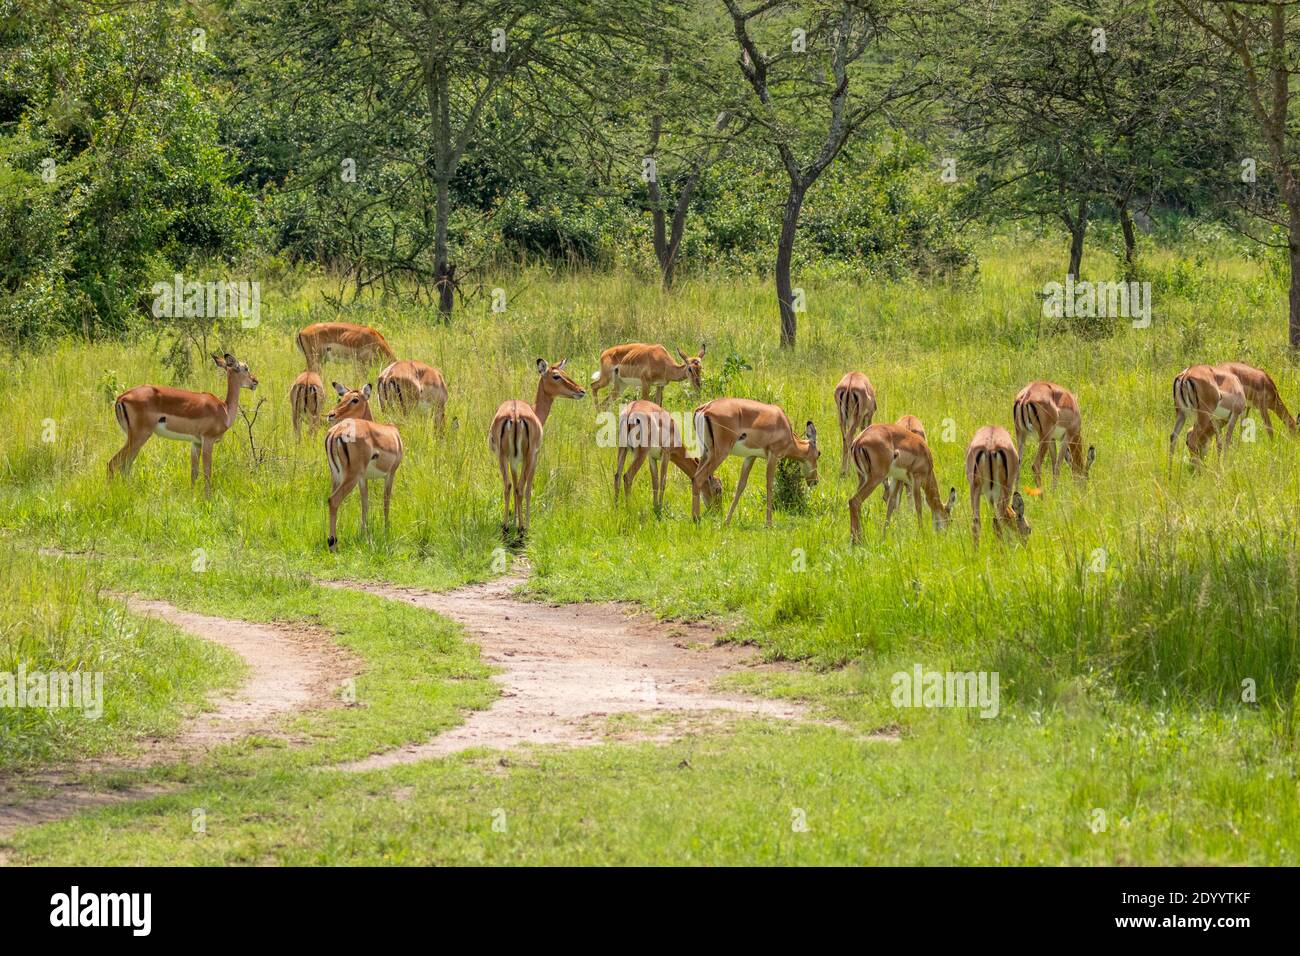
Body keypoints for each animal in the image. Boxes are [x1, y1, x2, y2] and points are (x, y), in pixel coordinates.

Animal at [108, 352, 258, 496]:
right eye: (245, 367)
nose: (255, 381)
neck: (224, 409)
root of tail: (122, 397)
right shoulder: (208, 440)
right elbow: (207, 472)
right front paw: (207, 498)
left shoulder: (196, 443)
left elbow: (194, 472)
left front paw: (192, 496)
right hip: (139, 436)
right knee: (113, 463)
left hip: (134, 439)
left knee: (125, 466)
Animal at [324, 382, 403, 552]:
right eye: (341, 398)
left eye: (354, 399)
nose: (331, 414)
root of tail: (336, 432)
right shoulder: (390, 474)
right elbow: (386, 501)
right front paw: (386, 530)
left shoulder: (363, 478)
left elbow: (364, 503)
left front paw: (363, 533)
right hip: (350, 476)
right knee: (333, 500)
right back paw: (333, 544)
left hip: (336, 476)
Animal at [489, 359, 586, 532]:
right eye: (556, 375)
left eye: (565, 373)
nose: (581, 390)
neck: (535, 411)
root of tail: (515, 414)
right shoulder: (534, 456)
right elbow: (528, 488)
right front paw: (524, 523)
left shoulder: (514, 460)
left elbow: (514, 484)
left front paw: (515, 520)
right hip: (527, 457)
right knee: (522, 488)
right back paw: (522, 529)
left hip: (502, 456)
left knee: (508, 485)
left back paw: (506, 527)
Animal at [691, 398, 819, 526]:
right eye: (819, 453)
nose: (815, 481)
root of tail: (705, 408)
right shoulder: (773, 455)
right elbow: (769, 484)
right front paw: (769, 523)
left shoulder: (750, 456)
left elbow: (741, 486)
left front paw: (727, 521)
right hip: (719, 453)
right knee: (698, 478)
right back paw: (696, 520)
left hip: (705, 453)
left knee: (695, 477)